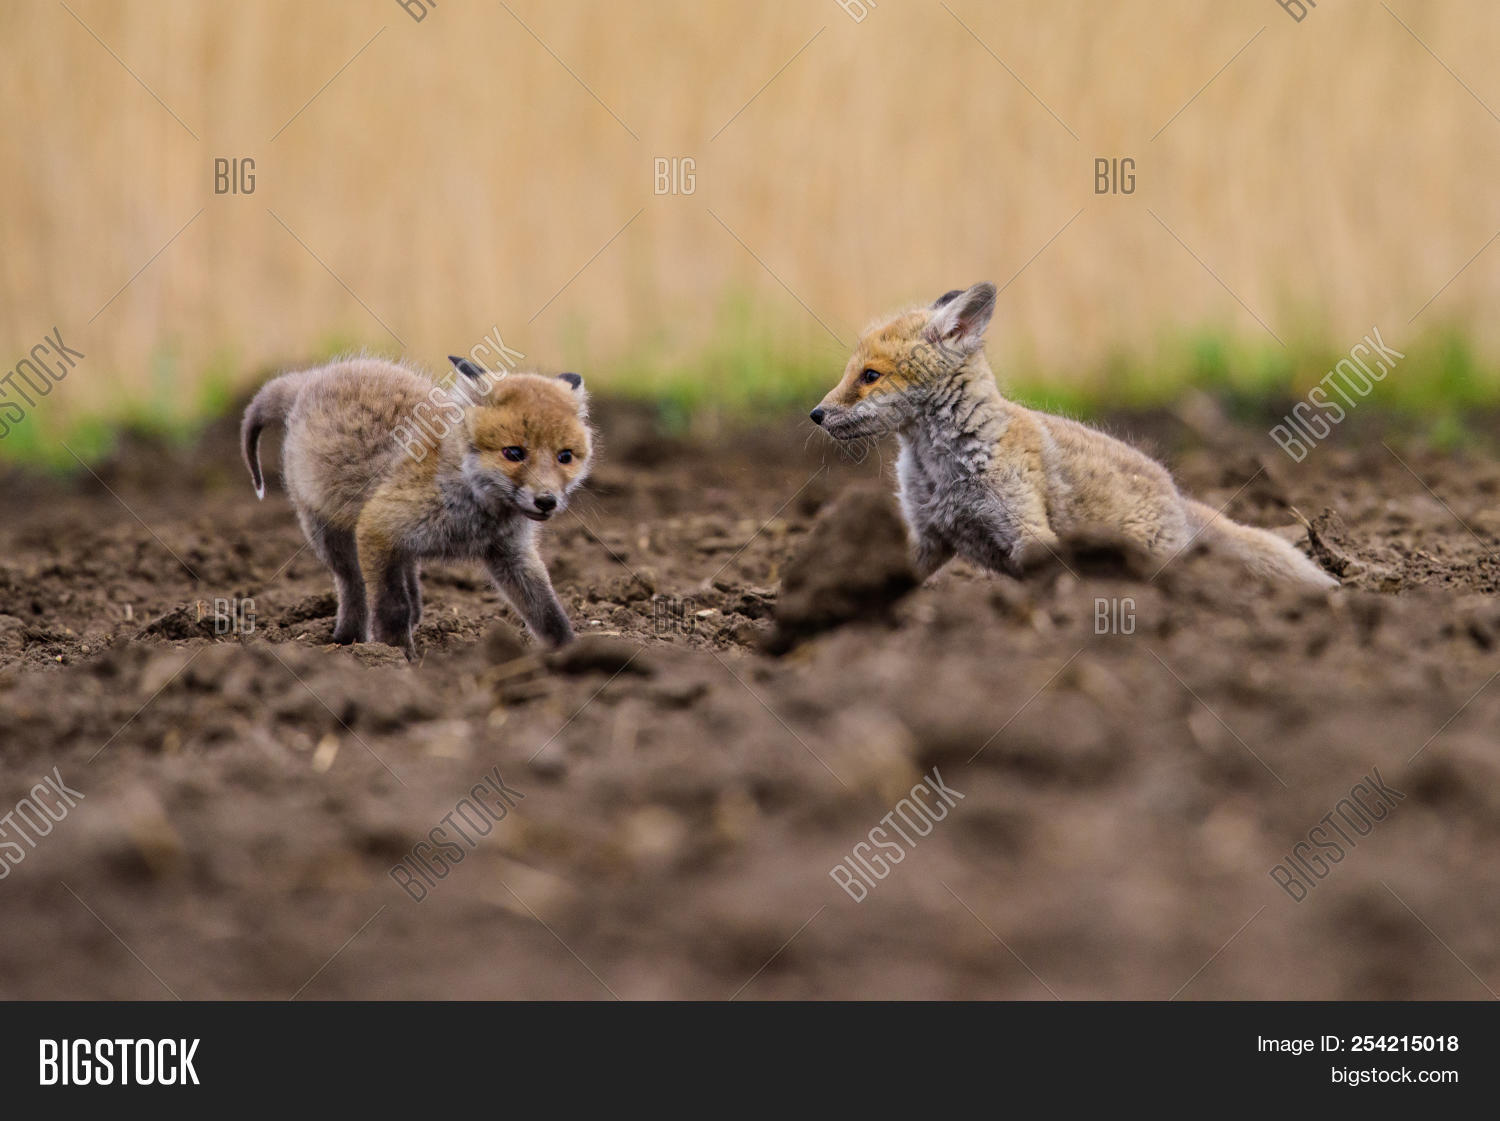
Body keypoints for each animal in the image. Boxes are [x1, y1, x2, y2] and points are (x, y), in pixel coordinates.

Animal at [240, 355, 592, 659]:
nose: (546, 500)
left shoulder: (511, 553)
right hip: (327, 533)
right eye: (514, 453)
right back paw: (349, 637)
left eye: (565, 457)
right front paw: (397, 657)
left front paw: (569, 652)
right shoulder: (376, 528)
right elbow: (392, 606)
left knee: (406, 576)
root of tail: (312, 377)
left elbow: (546, 609)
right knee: (352, 583)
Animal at [810, 283, 1337, 590]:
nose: (816, 414)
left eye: (871, 376)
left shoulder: (1029, 535)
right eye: (850, 372)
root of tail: (1177, 495)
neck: (939, 469)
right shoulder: (927, 538)